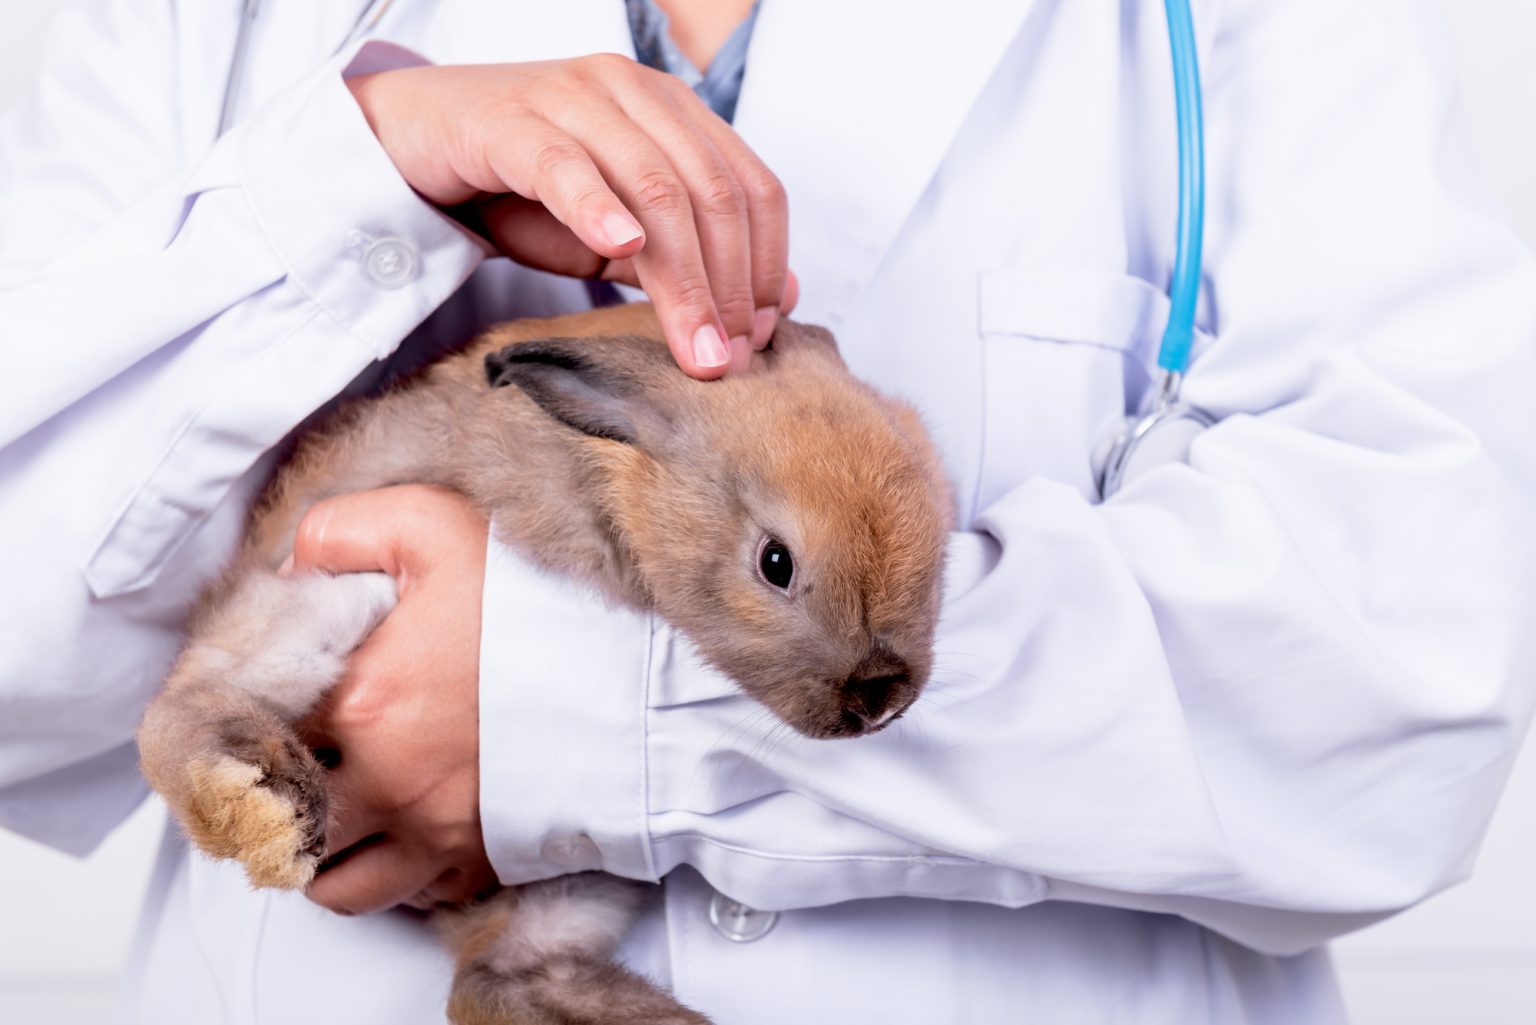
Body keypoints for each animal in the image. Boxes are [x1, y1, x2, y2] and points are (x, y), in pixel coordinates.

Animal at [136, 302, 954, 1024]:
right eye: (775, 562)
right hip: (323, 599)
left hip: (578, 875)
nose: (879, 694)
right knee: (180, 709)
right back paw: (272, 813)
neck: (626, 471)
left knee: (495, 979)